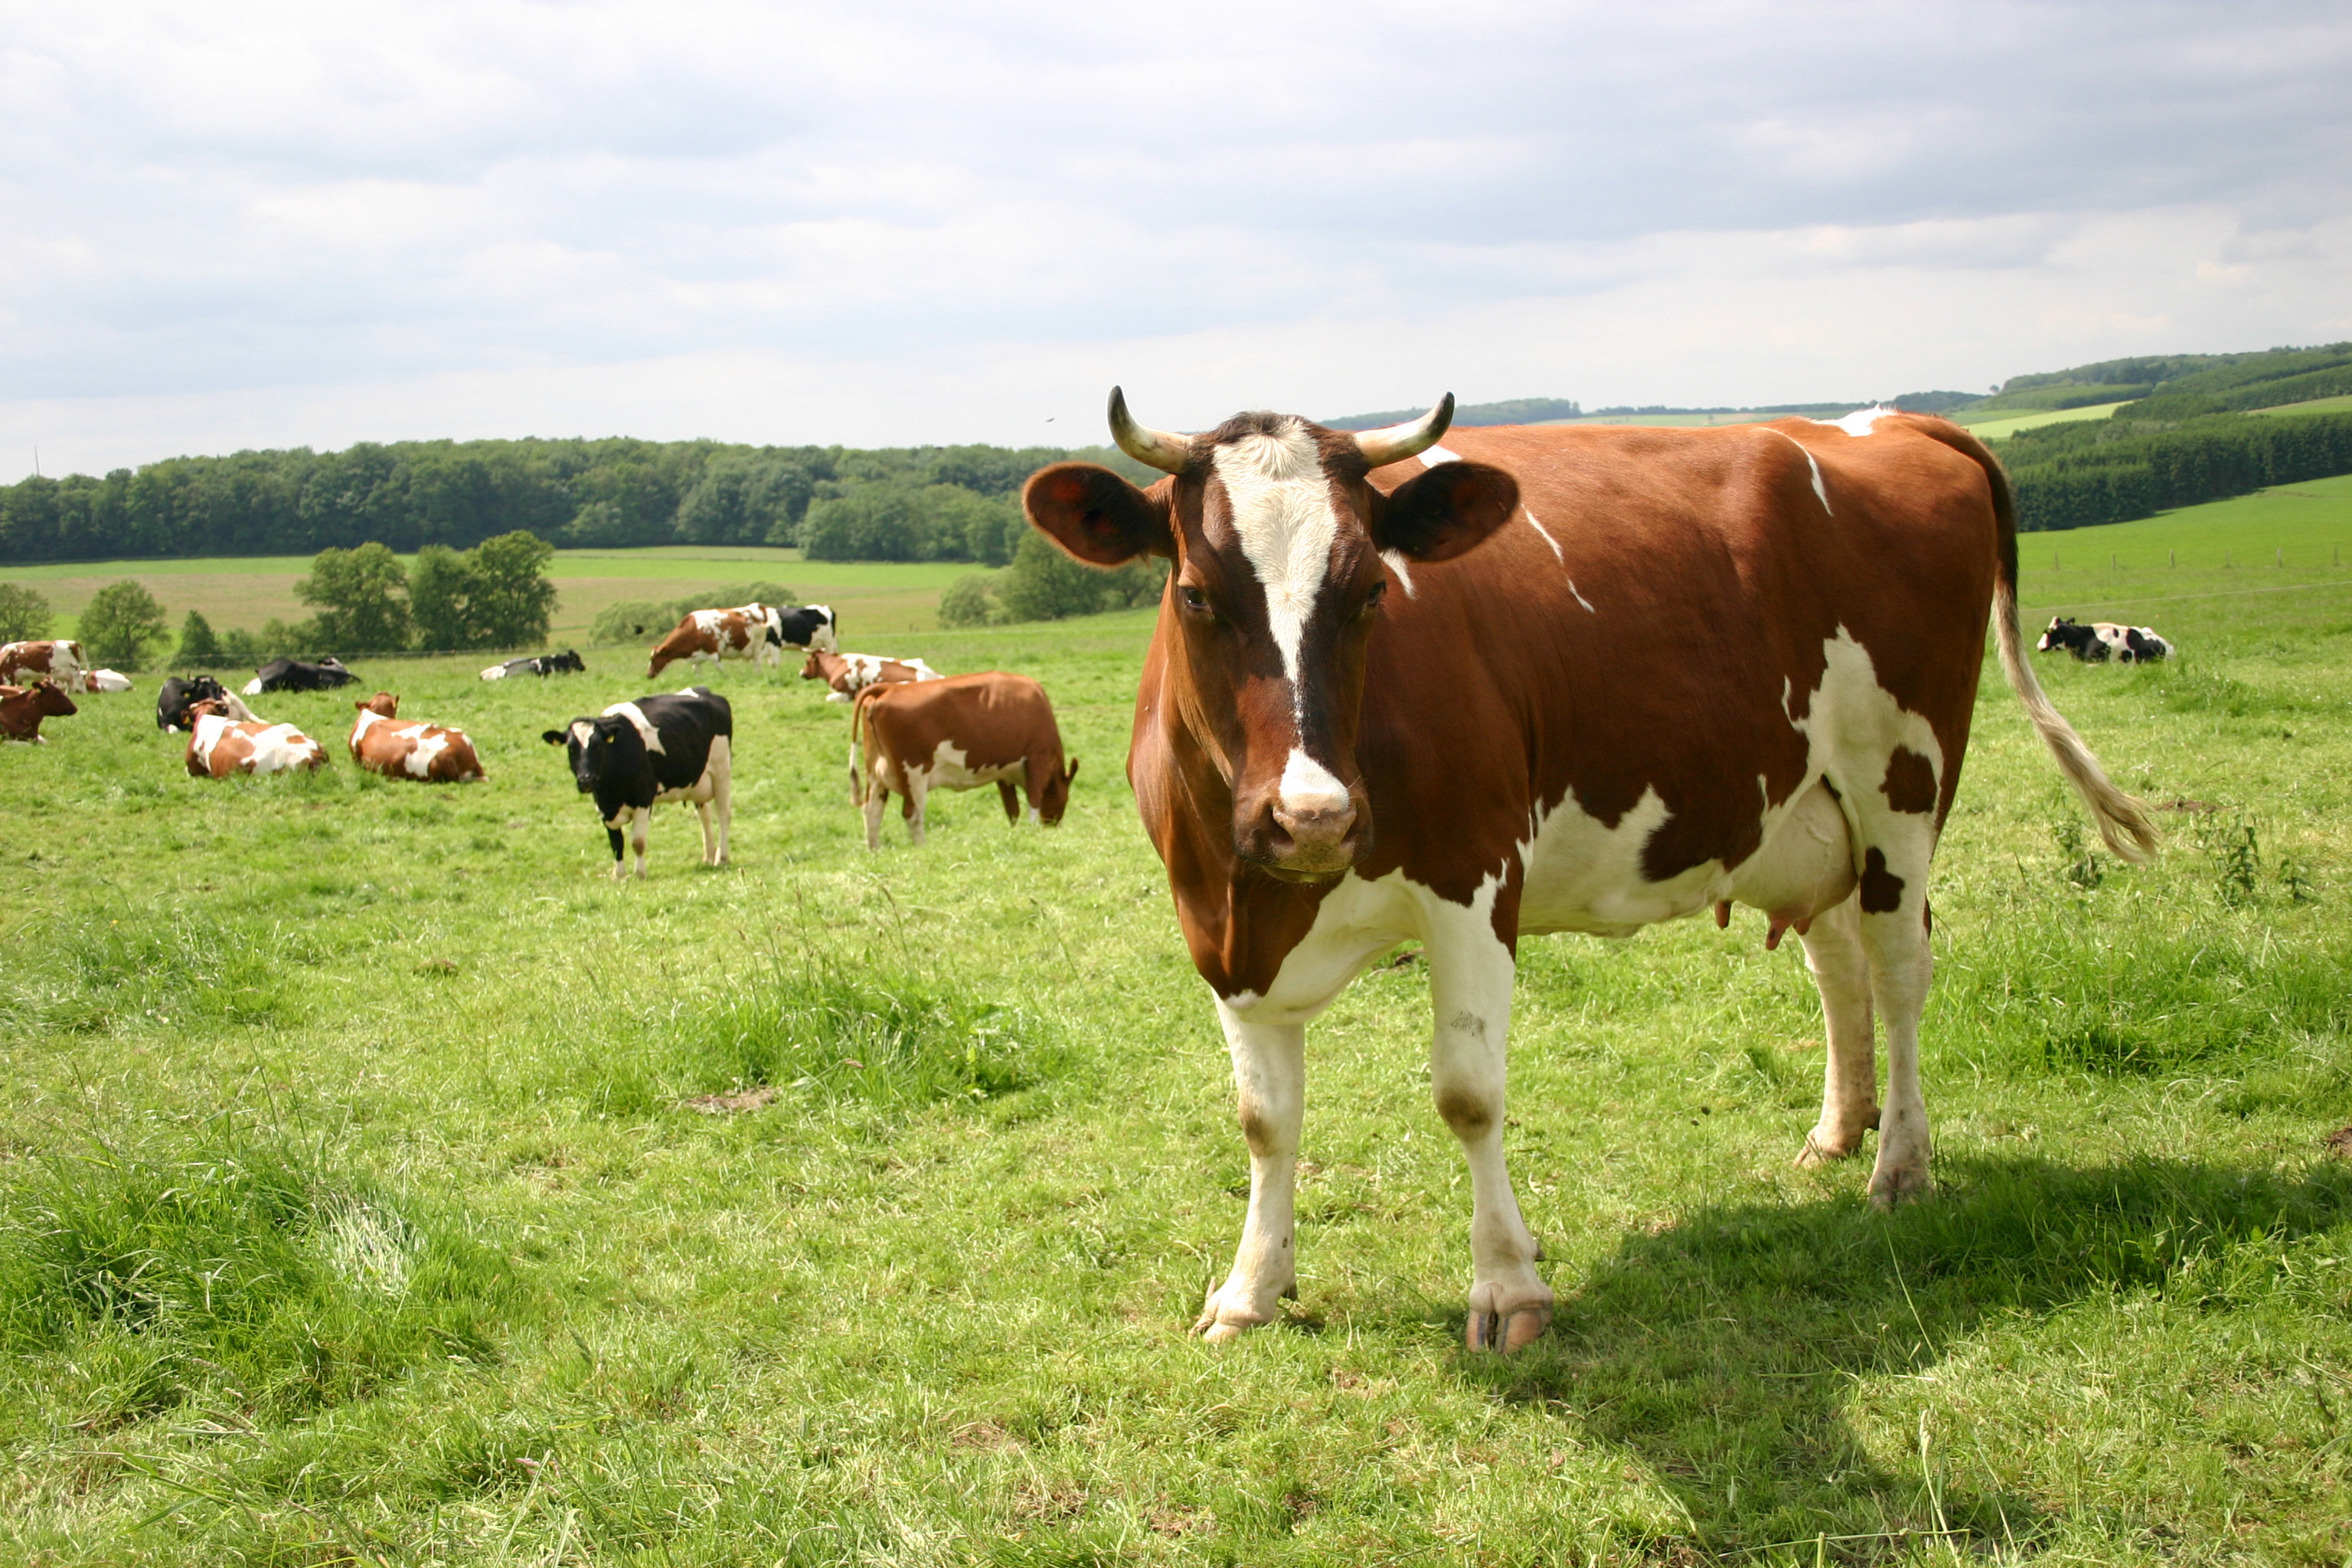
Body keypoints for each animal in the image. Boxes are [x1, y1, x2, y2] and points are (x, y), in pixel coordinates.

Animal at [541, 687, 733, 878]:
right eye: (571, 748)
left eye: (599, 746)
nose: (586, 780)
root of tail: (706, 691)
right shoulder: (604, 808)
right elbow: (616, 843)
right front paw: (619, 876)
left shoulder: (643, 798)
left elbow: (638, 842)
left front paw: (640, 874)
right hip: (697, 782)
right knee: (705, 817)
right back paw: (708, 857)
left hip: (721, 772)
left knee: (723, 815)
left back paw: (722, 858)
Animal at [850, 673, 1075, 849]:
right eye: (1064, 798)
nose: (1054, 826)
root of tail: (888, 688)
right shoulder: (1038, 759)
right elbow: (1033, 803)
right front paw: (1033, 832)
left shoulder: (1003, 772)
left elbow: (1012, 810)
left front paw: (1016, 833)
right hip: (914, 773)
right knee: (912, 814)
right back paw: (922, 848)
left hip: (875, 775)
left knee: (872, 812)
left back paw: (875, 850)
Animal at [1022, 389, 2157, 1353]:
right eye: (1195, 595)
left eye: (1371, 589)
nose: (1312, 817)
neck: (1267, 897)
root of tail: (1887, 421)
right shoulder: (1221, 921)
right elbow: (1265, 1120)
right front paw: (1252, 1290)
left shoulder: (1475, 880)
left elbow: (1468, 1094)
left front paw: (1508, 1287)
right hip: (1806, 802)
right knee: (1838, 964)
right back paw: (1838, 1132)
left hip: (1902, 782)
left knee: (1899, 967)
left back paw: (1901, 1166)